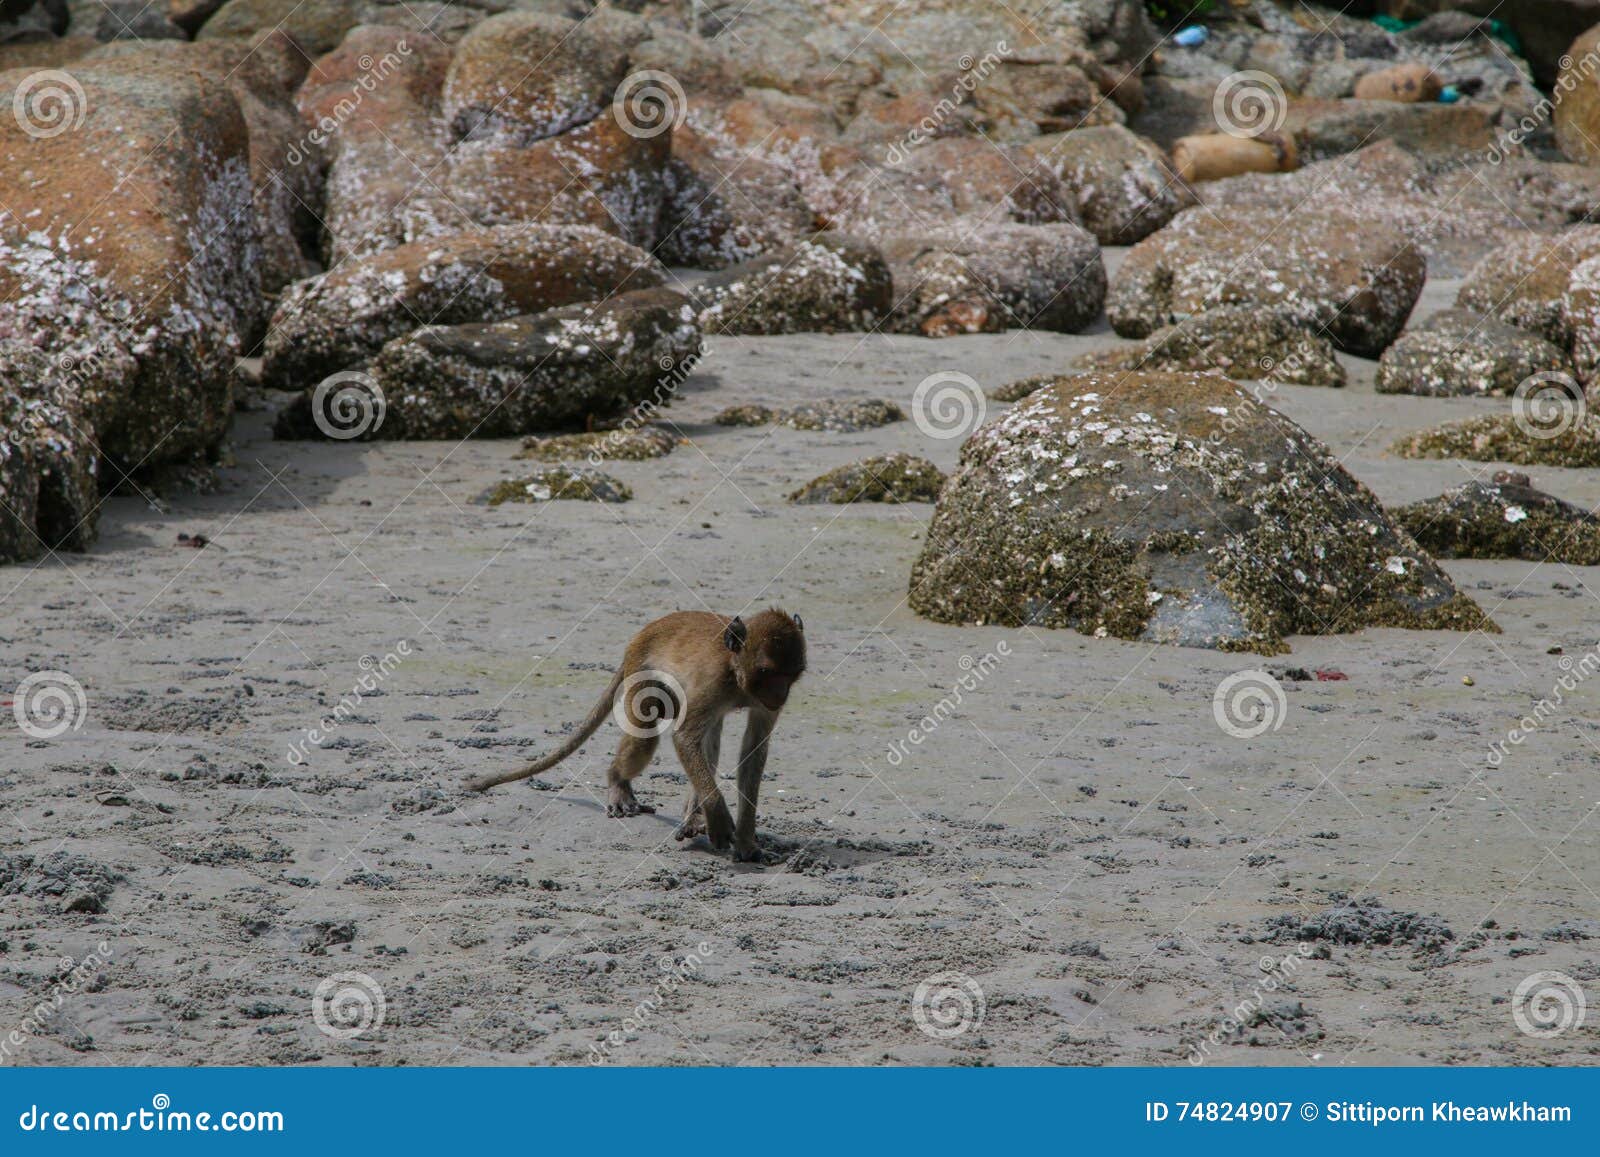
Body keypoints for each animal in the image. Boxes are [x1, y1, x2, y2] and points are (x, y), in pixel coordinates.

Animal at [466, 608, 806, 862]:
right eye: (768, 672)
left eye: (790, 674)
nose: (781, 695)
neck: (737, 675)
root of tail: (642, 635)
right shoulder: (713, 682)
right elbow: (685, 738)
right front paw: (717, 813)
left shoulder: (761, 705)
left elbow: (752, 751)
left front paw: (747, 842)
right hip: (641, 671)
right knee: (646, 735)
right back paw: (617, 781)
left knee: (708, 737)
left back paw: (693, 818)